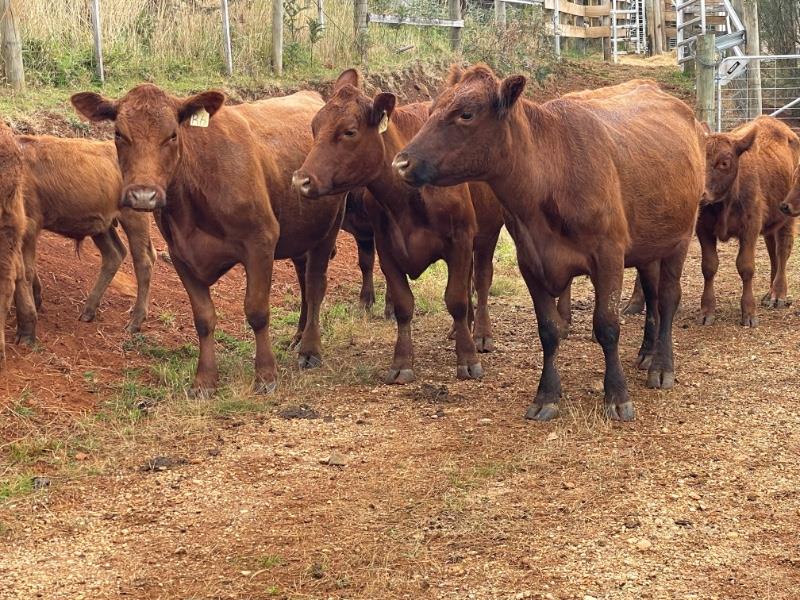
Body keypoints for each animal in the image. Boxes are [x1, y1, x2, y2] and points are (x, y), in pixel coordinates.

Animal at [17, 135, 155, 333]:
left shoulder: (28, 228)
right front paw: (37, 299)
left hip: (135, 220)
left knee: (143, 263)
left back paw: (135, 322)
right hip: (102, 227)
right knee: (114, 254)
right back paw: (88, 311)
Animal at [71, 85, 345, 396]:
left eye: (173, 134)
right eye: (119, 134)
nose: (143, 195)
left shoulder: (260, 242)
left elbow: (257, 311)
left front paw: (265, 374)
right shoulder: (181, 255)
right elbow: (203, 318)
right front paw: (204, 380)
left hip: (328, 228)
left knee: (315, 286)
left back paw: (310, 350)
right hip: (300, 233)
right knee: (304, 282)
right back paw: (298, 337)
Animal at [292, 69, 504, 383]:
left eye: (349, 131)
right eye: (314, 127)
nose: (301, 180)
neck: (408, 195)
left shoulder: (461, 239)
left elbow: (456, 300)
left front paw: (468, 359)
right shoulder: (386, 246)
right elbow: (404, 304)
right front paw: (402, 362)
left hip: (488, 234)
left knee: (481, 279)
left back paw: (480, 333)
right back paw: (458, 329)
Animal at [393, 65, 705, 421]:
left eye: (466, 114)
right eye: (431, 110)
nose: (401, 162)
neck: (552, 175)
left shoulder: (609, 256)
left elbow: (607, 326)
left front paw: (617, 395)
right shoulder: (531, 261)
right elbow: (548, 330)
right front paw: (547, 395)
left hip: (679, 239)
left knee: (667, 298)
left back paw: (662, 365)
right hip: (648, 246)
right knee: (652, 295)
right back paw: (647, 353)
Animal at [698, 116, 799, 327]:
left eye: (724, 163)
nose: (700, 192)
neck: (725, 202)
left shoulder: (750, 229)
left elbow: (746, 267)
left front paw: (749, 313)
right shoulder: (703, 229)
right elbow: (709, 266)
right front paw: (707, 311)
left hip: (788, 214)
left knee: (783, 250)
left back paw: (778, 294)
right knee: (773, 251)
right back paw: (770, 293)